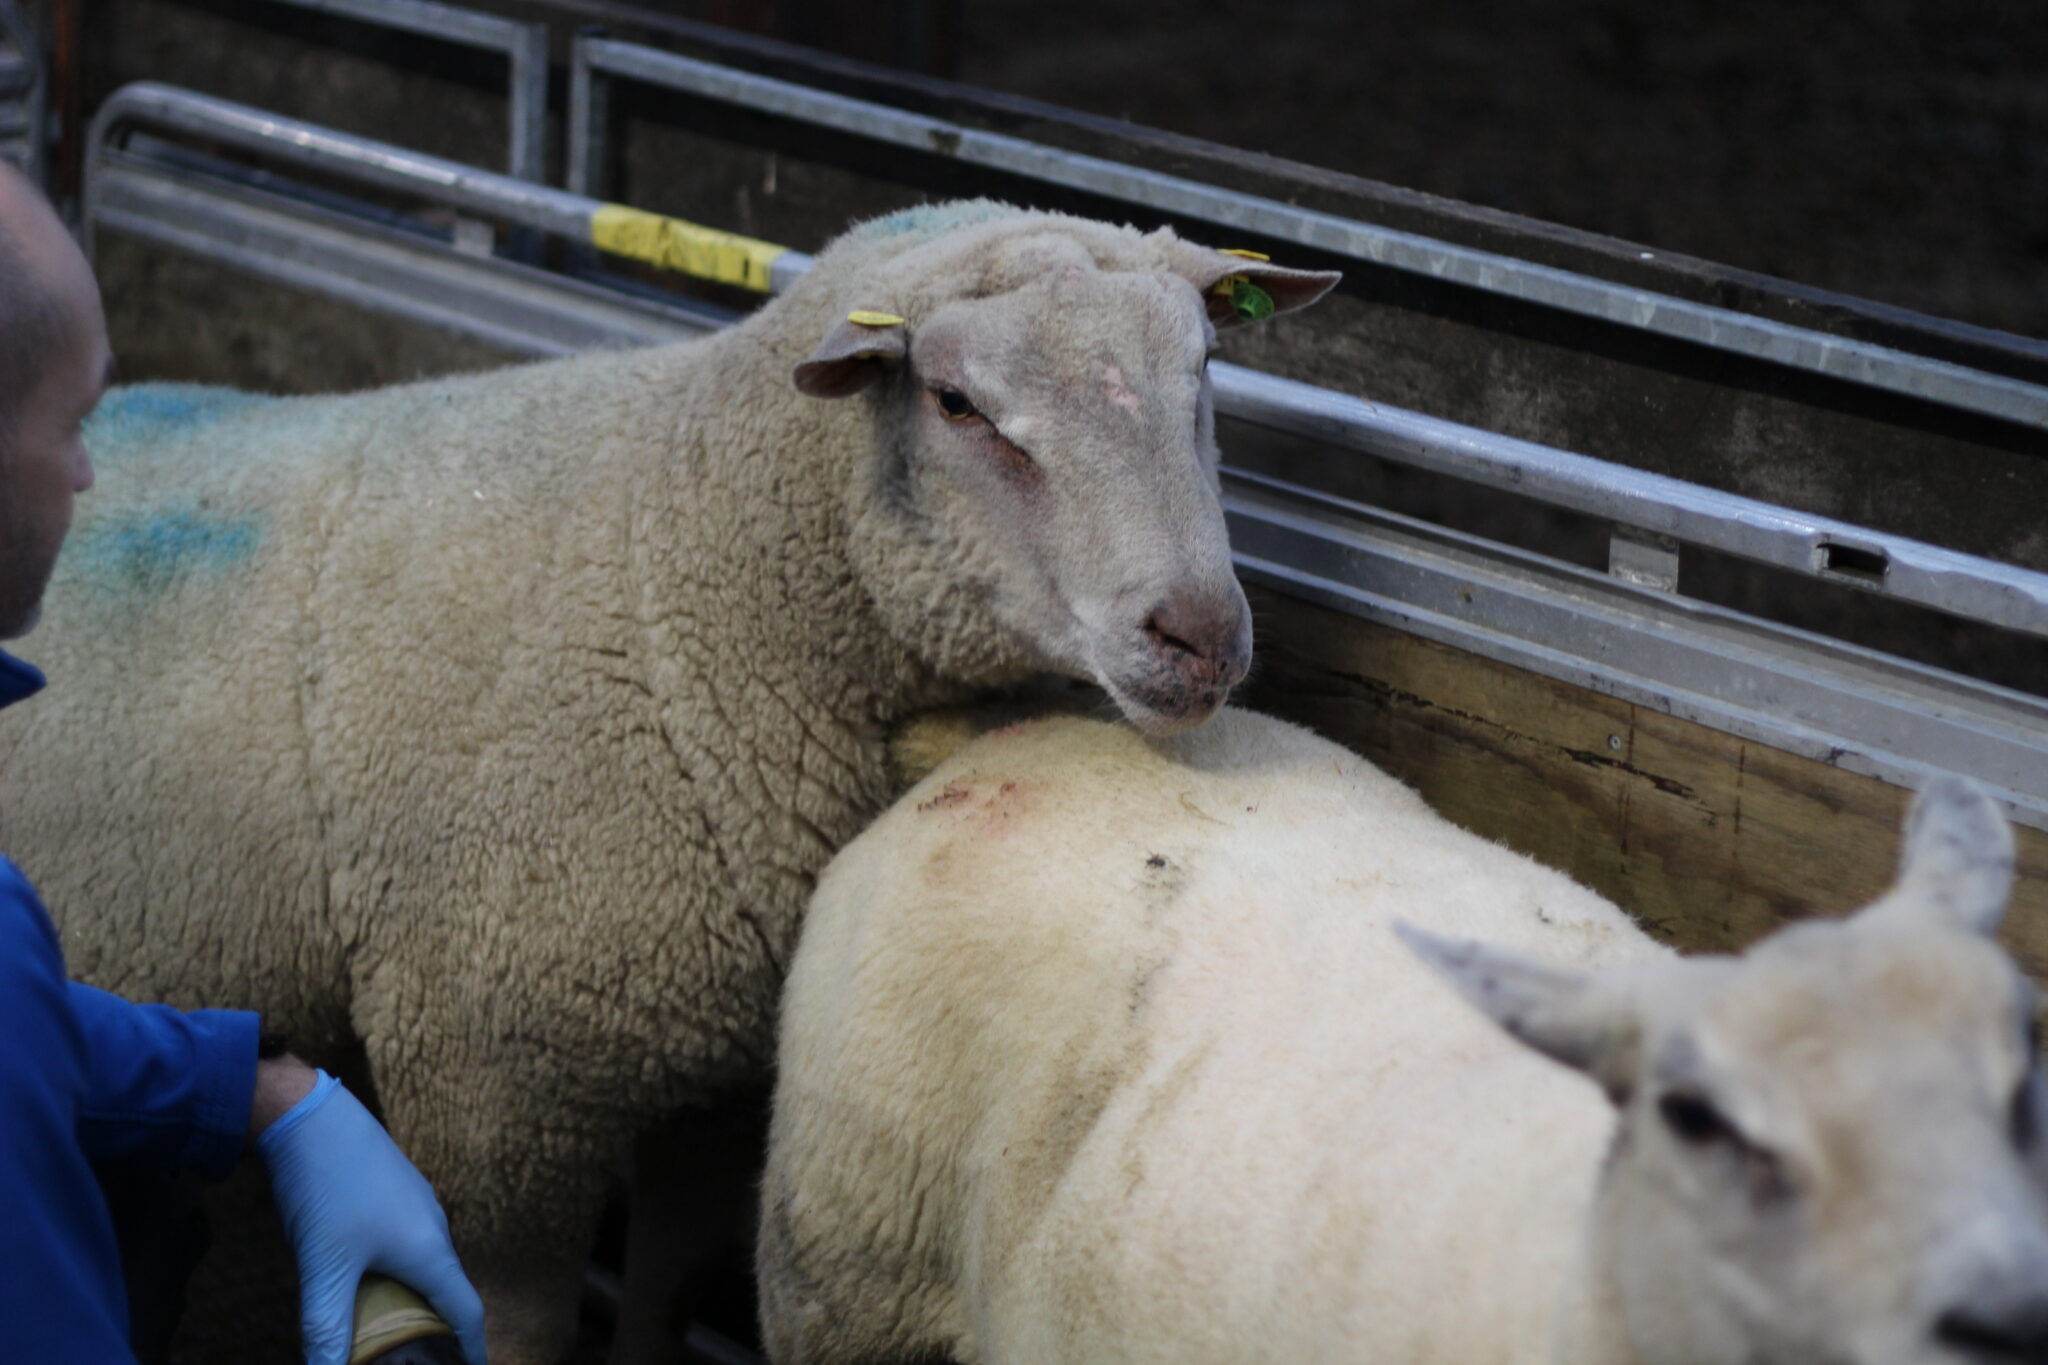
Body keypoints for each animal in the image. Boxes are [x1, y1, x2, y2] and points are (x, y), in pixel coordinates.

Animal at [0, 201, 1339, 1363]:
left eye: (1205, 371)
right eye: (959, 404)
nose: (1199, 634)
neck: (674, 568)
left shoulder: (716, 1073)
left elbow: (663, 1282)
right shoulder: (495, 1079)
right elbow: (517, 1323)